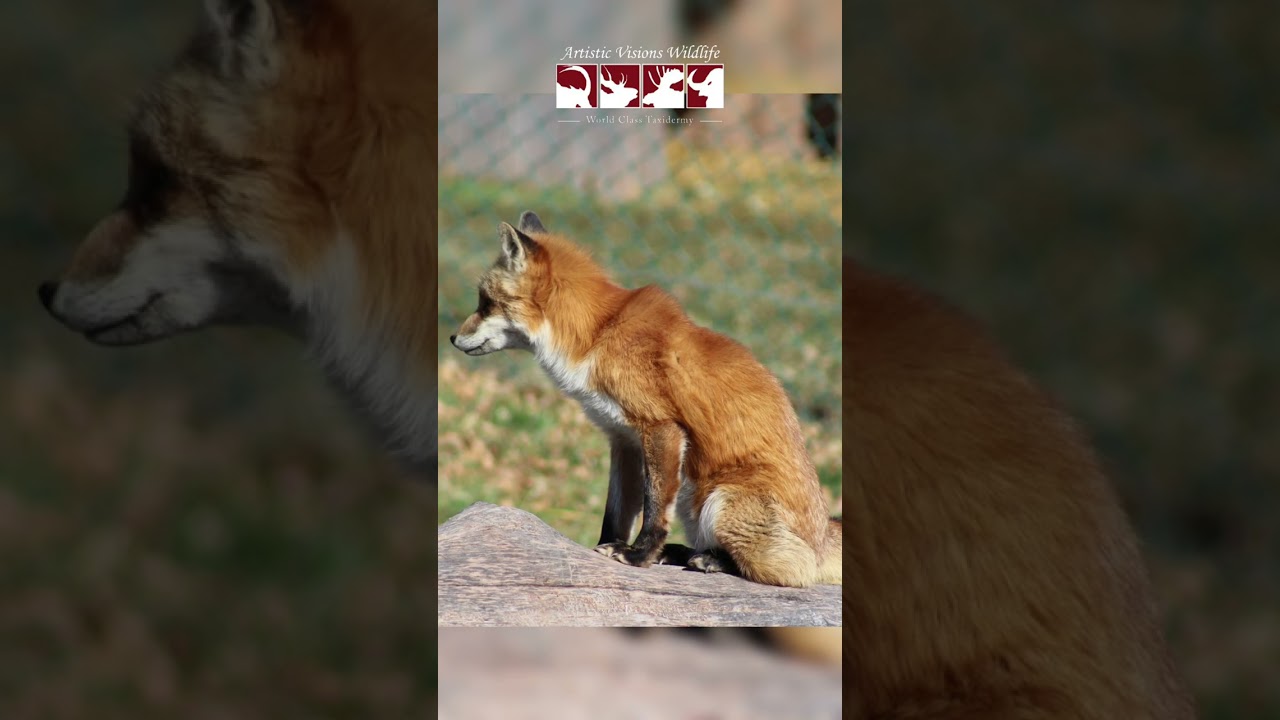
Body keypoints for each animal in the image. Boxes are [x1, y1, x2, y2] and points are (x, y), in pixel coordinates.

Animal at [449, 212, 841, 588]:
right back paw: (683, 552)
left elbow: (654, 507)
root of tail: (824, 535)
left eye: (485, 303)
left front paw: (638, 556)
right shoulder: (623, 438)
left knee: (788, 572)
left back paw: (712, 560)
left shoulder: (660, 427)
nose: (452, 337)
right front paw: (605, 548)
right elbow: (617, 511)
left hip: (719, 500)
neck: (598, 334)